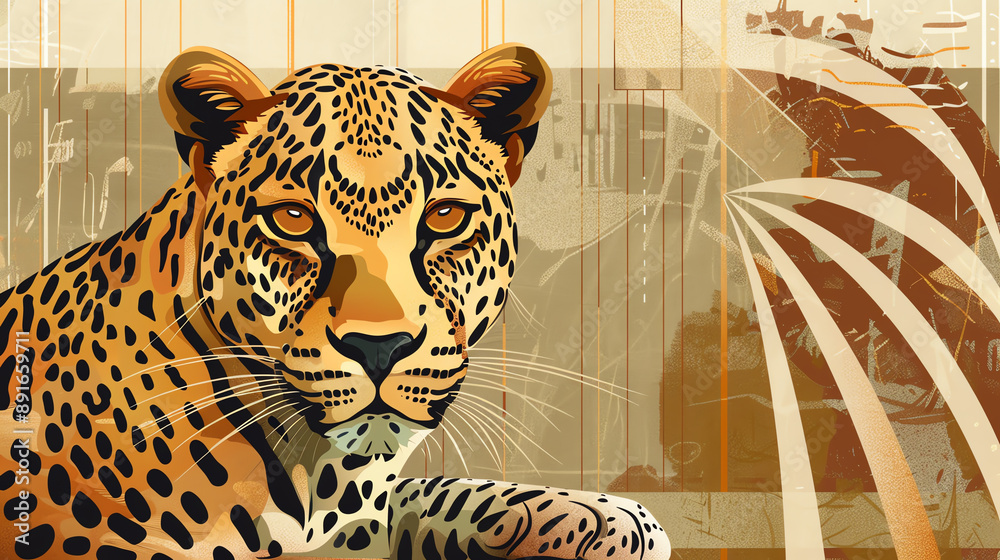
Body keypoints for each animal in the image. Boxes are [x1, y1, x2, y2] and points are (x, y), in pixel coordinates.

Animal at [0, 44, 671, 559]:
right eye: (294, 219)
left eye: (445, 217)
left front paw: (602, 519)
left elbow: (430, 495)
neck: (316, 477)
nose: (379, 348)